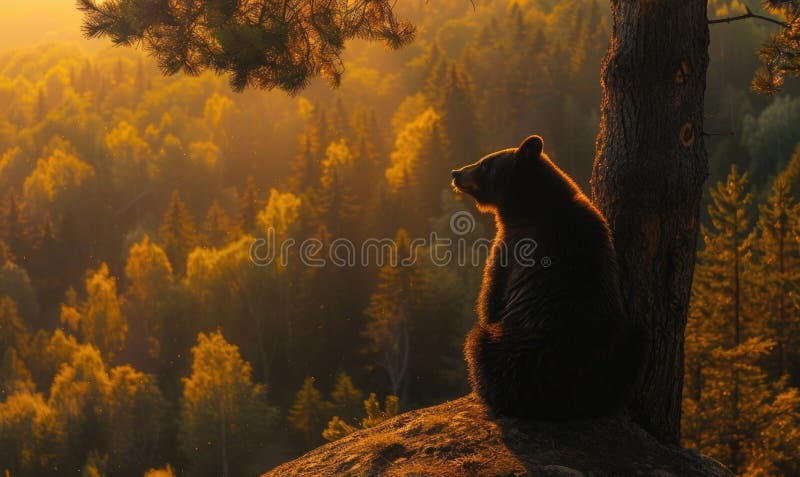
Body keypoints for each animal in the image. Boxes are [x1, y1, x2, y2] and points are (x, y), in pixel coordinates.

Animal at [451, 134, 640, 420]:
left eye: (485, 164)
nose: (456, 173)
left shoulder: (510, 250)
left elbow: (490, 299)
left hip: (514, 354)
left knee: (478, 343)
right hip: (619, 346)